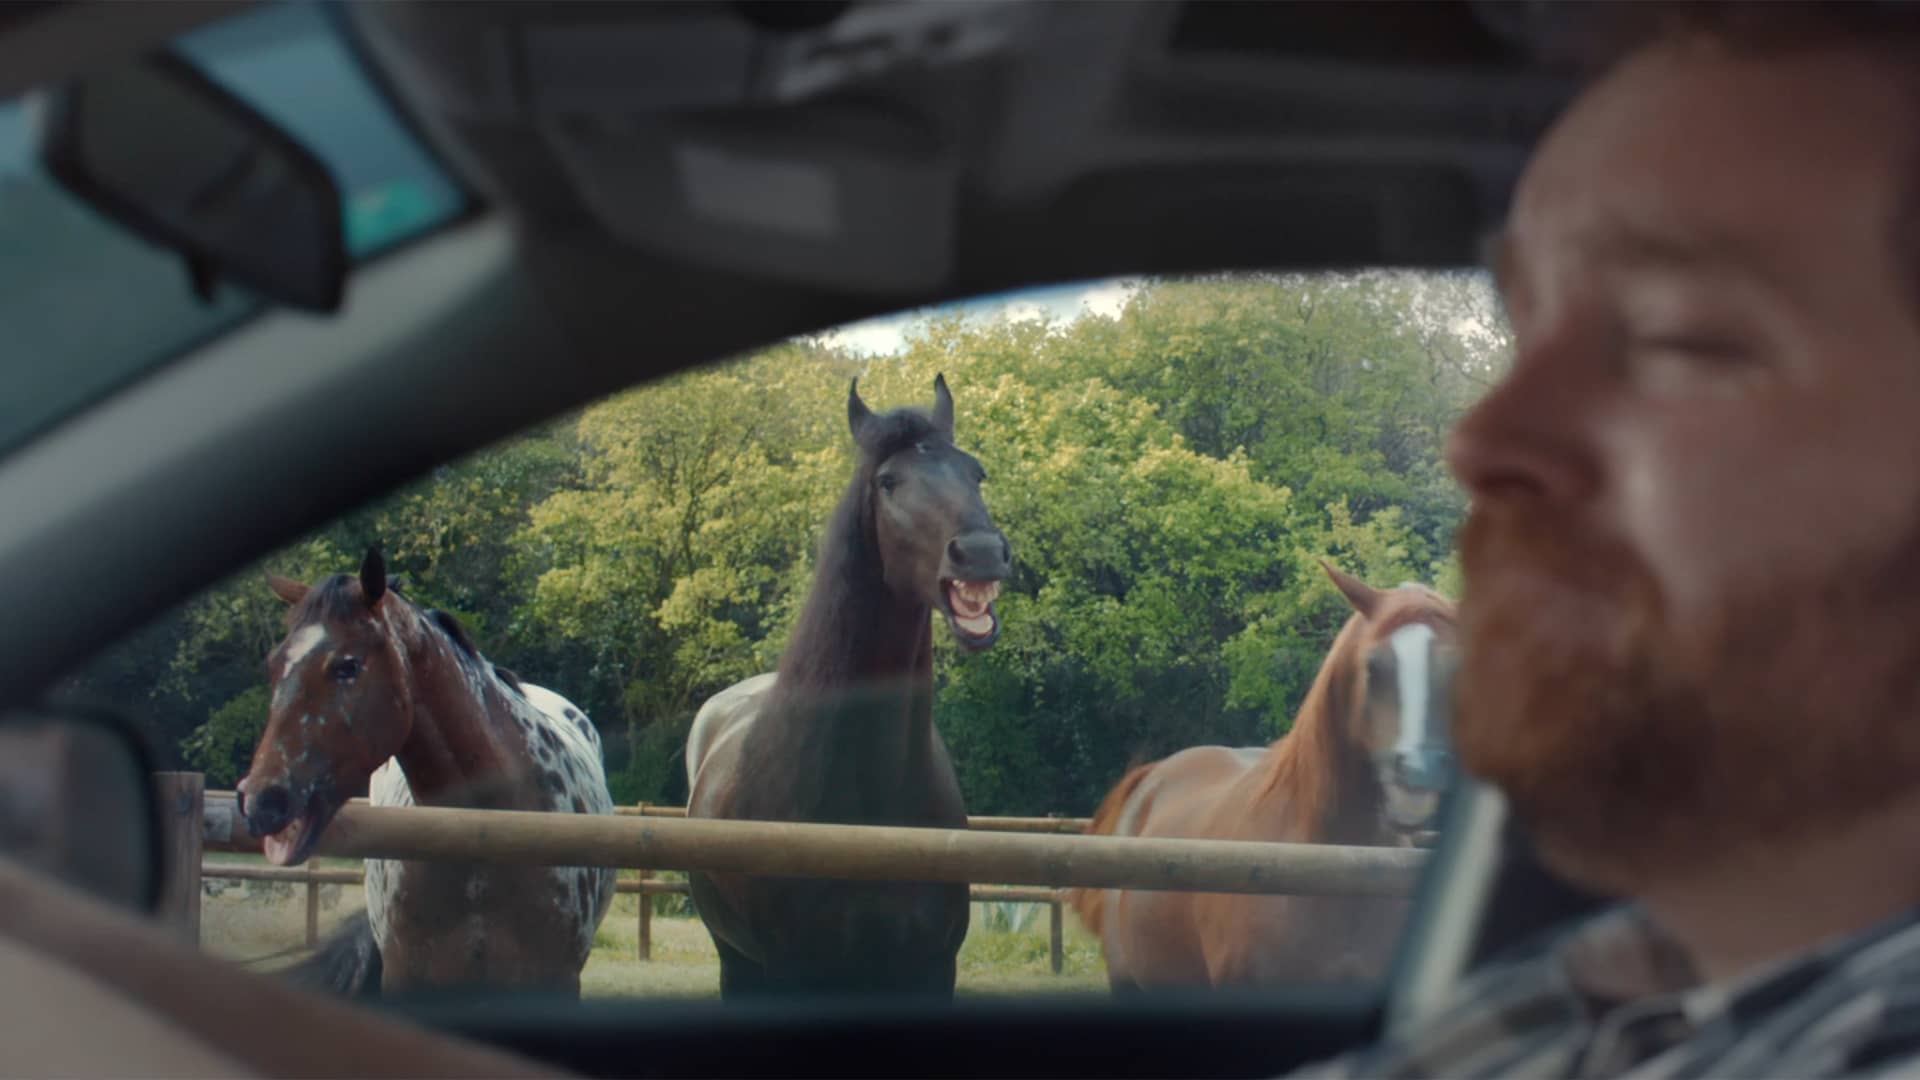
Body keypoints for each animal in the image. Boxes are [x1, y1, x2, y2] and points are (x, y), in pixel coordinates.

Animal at [684, 373, 1012, 1000]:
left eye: (976, 472)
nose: (982, 553)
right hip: (736, 962)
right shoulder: (794, 974)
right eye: (888, 481)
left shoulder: (931, 971)